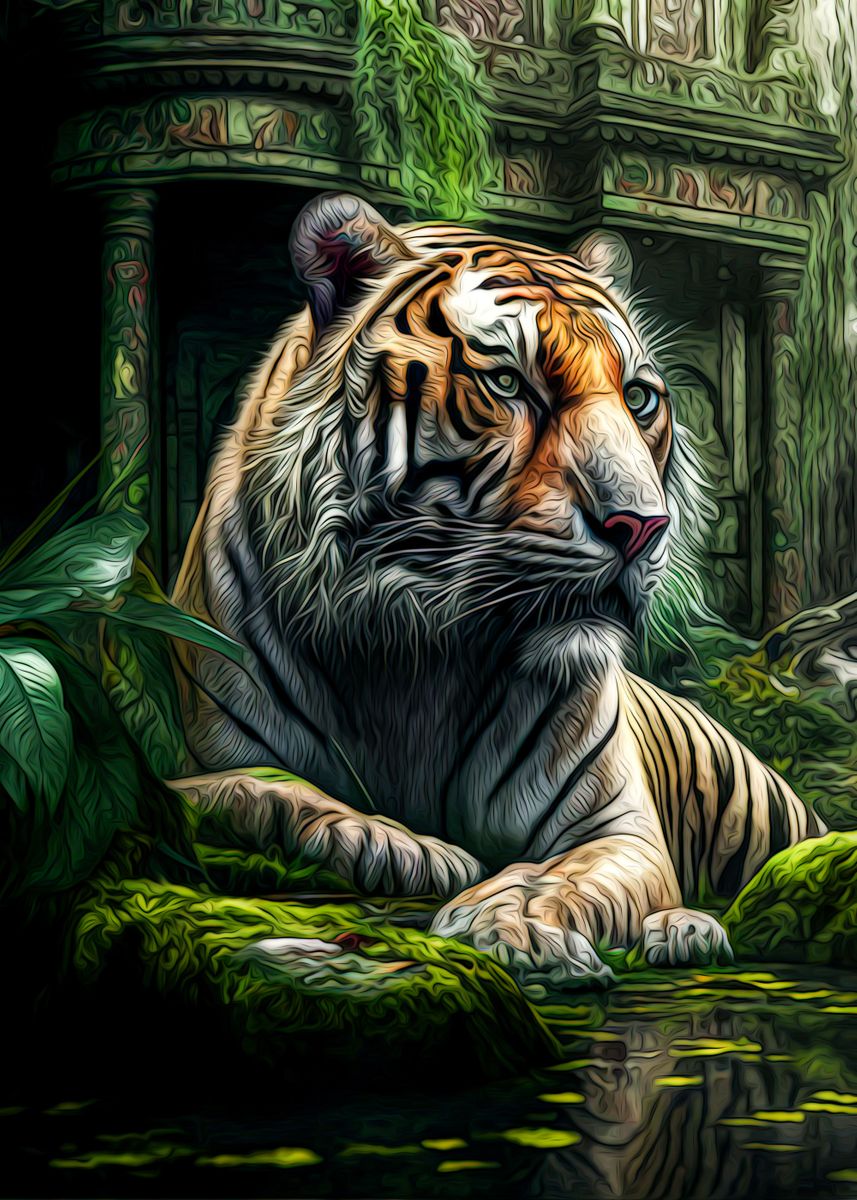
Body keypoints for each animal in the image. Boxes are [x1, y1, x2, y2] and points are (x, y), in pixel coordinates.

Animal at [170, 191, 824, 991]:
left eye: (638, 398)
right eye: (508, 384)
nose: (643, 526)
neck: (408, 659)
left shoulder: (616, 829)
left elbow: (554, 876)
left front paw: (513, 924)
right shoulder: (196, 767)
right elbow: (264, 791)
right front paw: (401, 845)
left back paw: (687, 929)